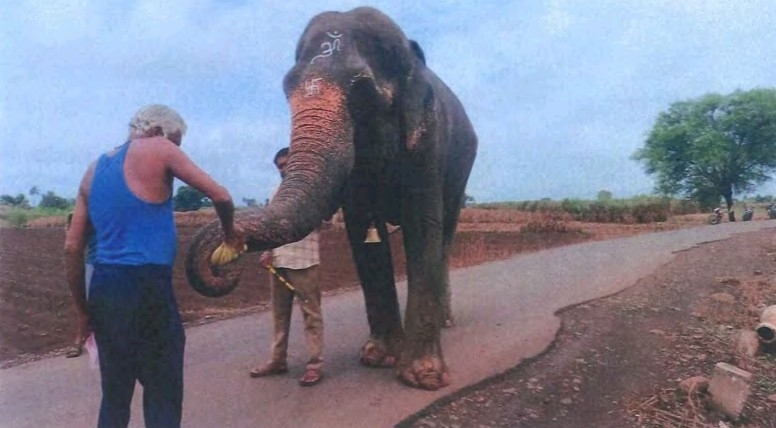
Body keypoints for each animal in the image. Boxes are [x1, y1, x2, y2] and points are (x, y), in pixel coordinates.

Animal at [185, 6, 477, 391]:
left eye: (363, 90)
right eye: (286, 87)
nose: (224, 254)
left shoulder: (429, 140)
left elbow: (422, 225)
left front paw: (423, 377)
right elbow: (361, 231)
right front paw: (377, 358)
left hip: (462, 165)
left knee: (445, 235)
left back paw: (446, 322)